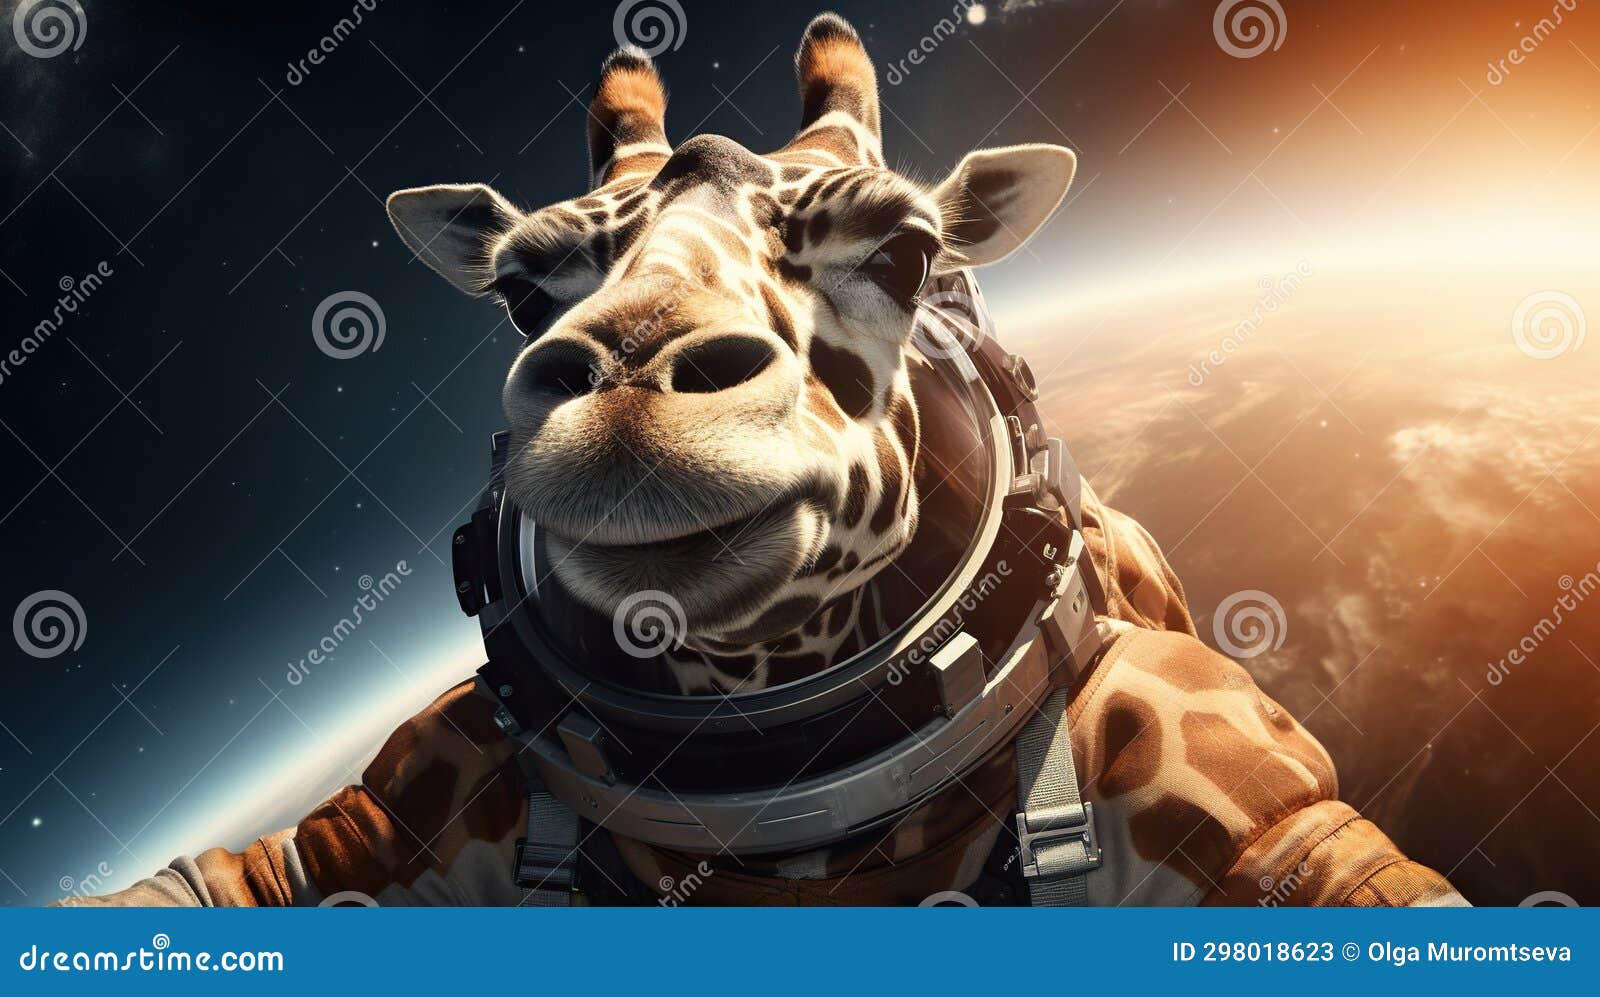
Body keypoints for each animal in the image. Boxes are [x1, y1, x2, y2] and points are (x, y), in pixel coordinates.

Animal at [62, 14, 1465, 908]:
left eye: (902, 250)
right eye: (522, 290)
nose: (629, 415)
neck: (794, 834)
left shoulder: (1259, 813)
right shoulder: (383, 817)